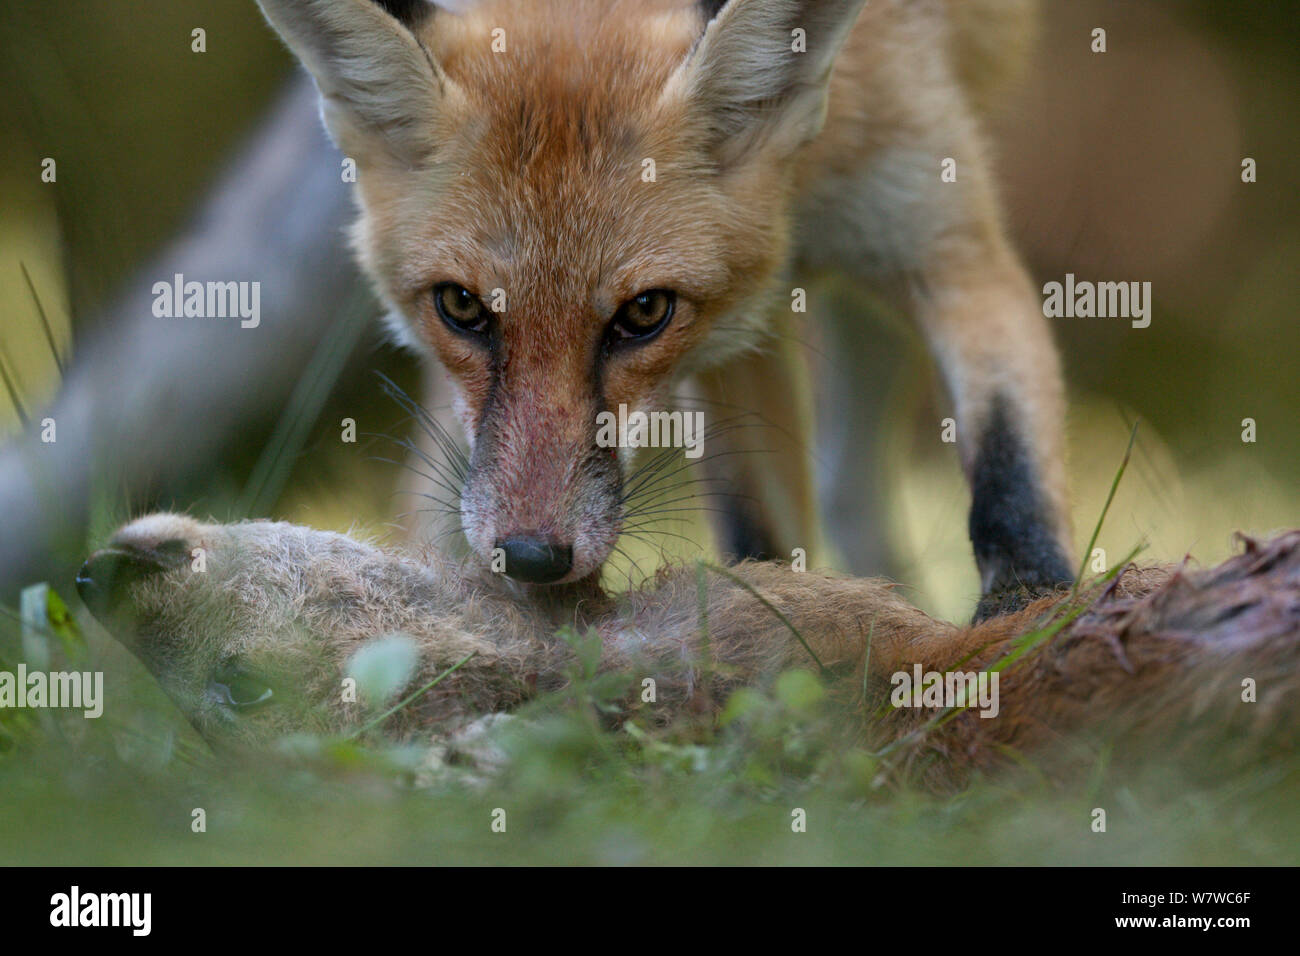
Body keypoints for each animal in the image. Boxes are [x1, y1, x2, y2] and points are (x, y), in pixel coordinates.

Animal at [253, 0, 1072, 609]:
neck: (801, 185)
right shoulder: (733, 339)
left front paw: (1027, 609)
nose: (530, 557)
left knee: (852, 477)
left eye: (644, 313)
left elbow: (1009, 465)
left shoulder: (948, 249)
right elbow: (755, 528)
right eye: (461, 306)